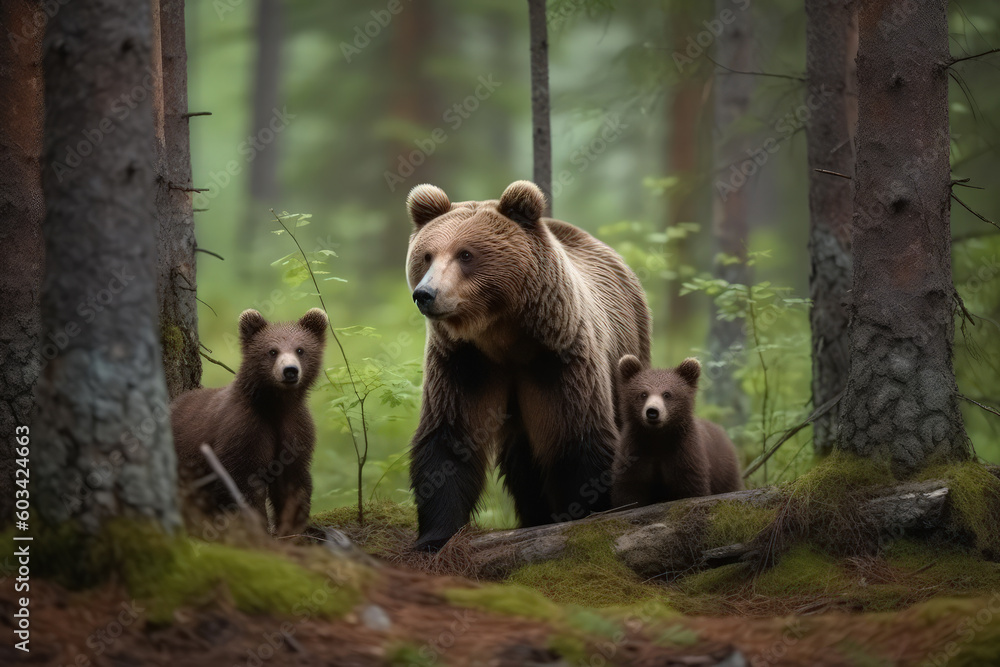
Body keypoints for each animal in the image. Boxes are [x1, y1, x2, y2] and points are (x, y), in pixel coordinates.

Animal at [170, 308, 327, 537]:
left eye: (300, 349)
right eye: (272, 351)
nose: (290, 370)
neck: (274, 406)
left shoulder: (294, 428)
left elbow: (292, 480)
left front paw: (292, 527)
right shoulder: (243, 430)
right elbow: (243, 482)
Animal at [404, 180, 651, 551]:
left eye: (466, 254)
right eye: (427, 255)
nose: (426, 293)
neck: (502, 336)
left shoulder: (558, 357)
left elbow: (577, 437)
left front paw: (585, 514)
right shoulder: (463, 364)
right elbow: (448, 439)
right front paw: (436, 536)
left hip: (628, 347)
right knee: (522, 461)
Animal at [611, 355, 743, 508]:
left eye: (667, 394)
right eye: (643, 394)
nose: (652, 412)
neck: (657, 437)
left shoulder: (685, 455)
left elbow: (690, 488)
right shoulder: (635, 451)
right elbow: (629, 490)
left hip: (724, 470)